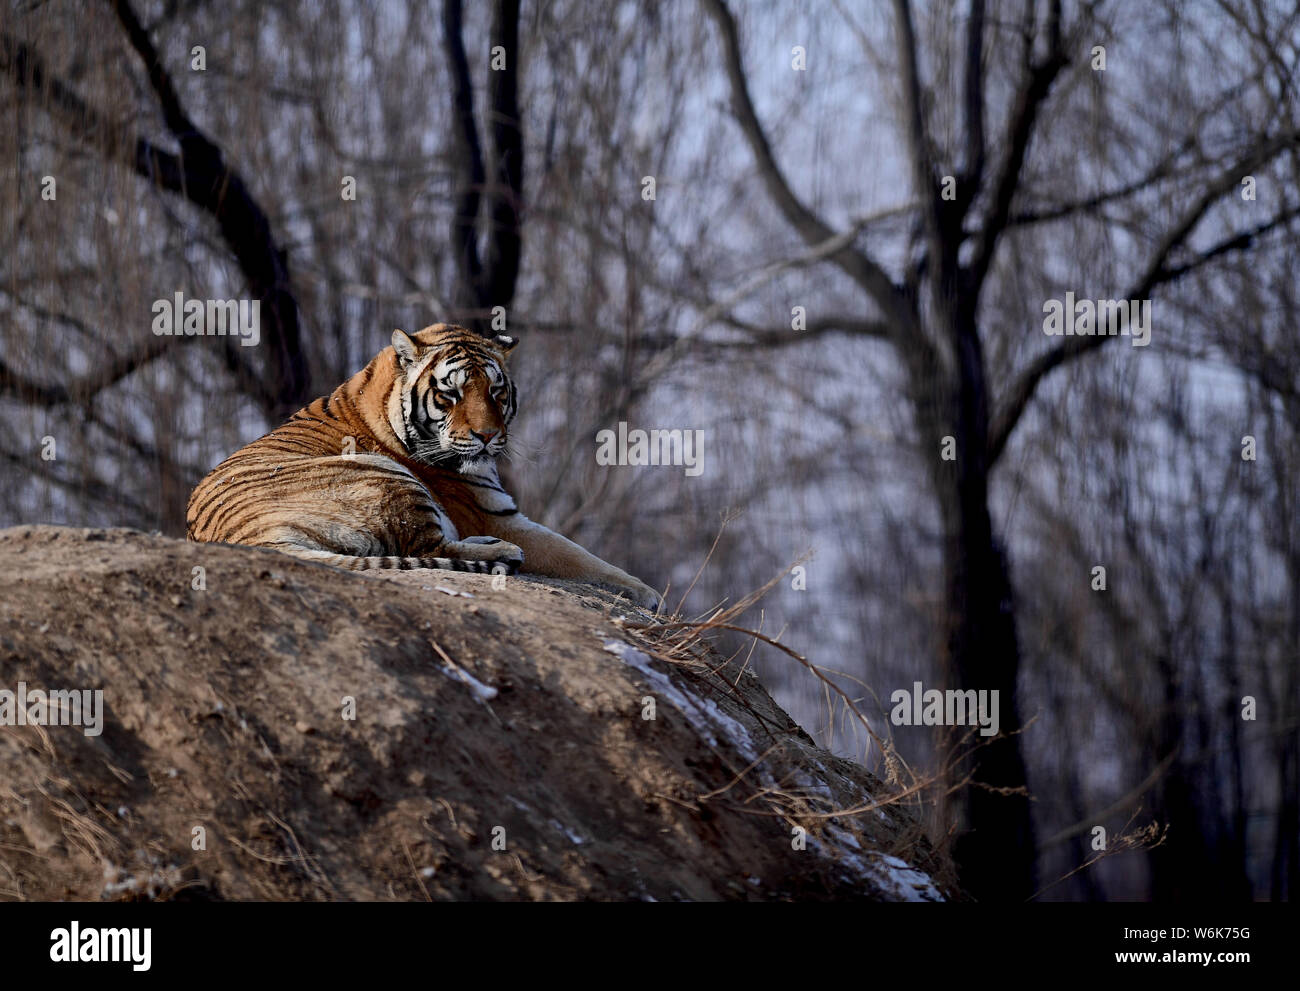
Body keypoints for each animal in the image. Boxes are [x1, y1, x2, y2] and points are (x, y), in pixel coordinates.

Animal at [186, 322, 661, 610]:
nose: (487, 436)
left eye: (496, 392)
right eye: (450, 394)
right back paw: (502, 551)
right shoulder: (498, 515)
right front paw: (648, 594)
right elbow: (578, 555)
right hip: (382, 475)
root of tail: (252, 540)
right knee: (427, 548)